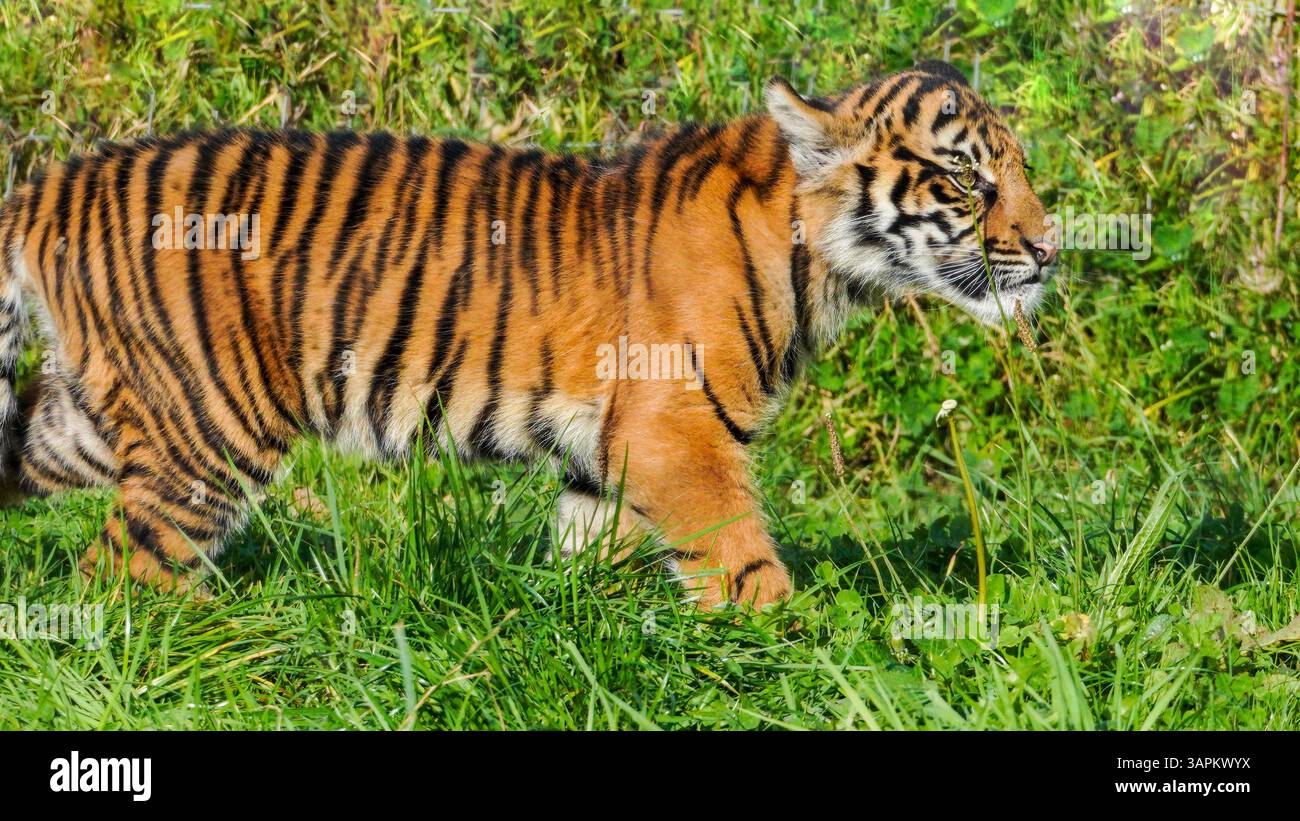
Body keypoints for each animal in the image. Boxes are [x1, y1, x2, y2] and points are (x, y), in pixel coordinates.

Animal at [0, 60, 1055, 610]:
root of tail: (49, 182)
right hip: (206, 431)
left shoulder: (610, 449)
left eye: (1020, 169)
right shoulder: (680, 432)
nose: (1049, 248)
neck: (819, 263)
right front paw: (792, 649)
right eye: (967, 181)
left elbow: (600, 554)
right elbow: (739, 556)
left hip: (98, 415)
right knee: (124, 578)